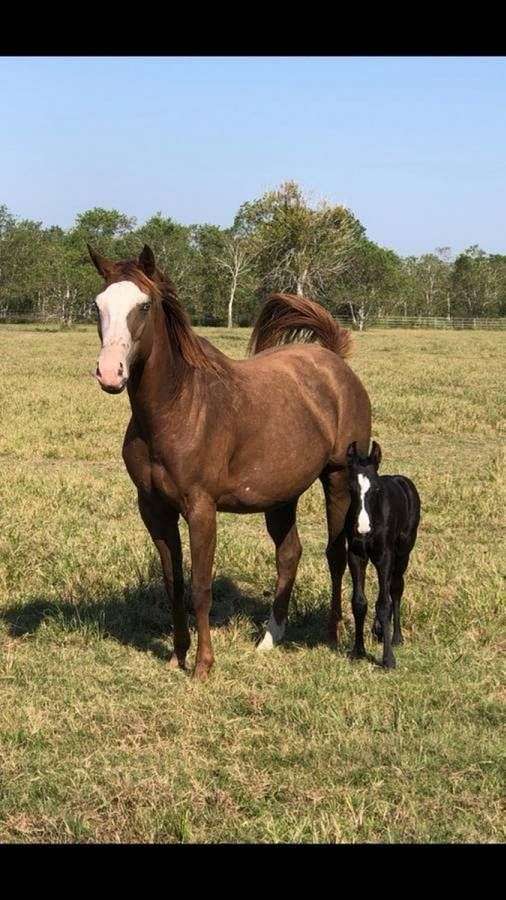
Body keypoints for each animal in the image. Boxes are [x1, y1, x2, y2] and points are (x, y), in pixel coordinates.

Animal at [88, 243, 372, 679]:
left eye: (144, 305)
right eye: (98, 305)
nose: (109, 373)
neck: (178, 408)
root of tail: (333, 361)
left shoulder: (201, 509)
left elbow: (201, 588)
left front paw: (203, 666)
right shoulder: (154, 510)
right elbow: (174, 584)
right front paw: (177, 655)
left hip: (338, 480)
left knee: (336, 555)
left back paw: (332, 635)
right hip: (281, 496)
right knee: (289, 554)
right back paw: (270, 637)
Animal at [345, 441, 421, 668]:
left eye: (377, 489)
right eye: (350, 488)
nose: (363, 528)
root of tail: (400, 479)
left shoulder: (384, 556)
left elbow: (384, 604)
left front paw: (388, 659)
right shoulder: (356, 555)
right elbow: (359, 602)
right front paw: (358, 651)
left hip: (402, 553)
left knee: (395, 588)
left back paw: (396, 637)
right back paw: (378, 630)